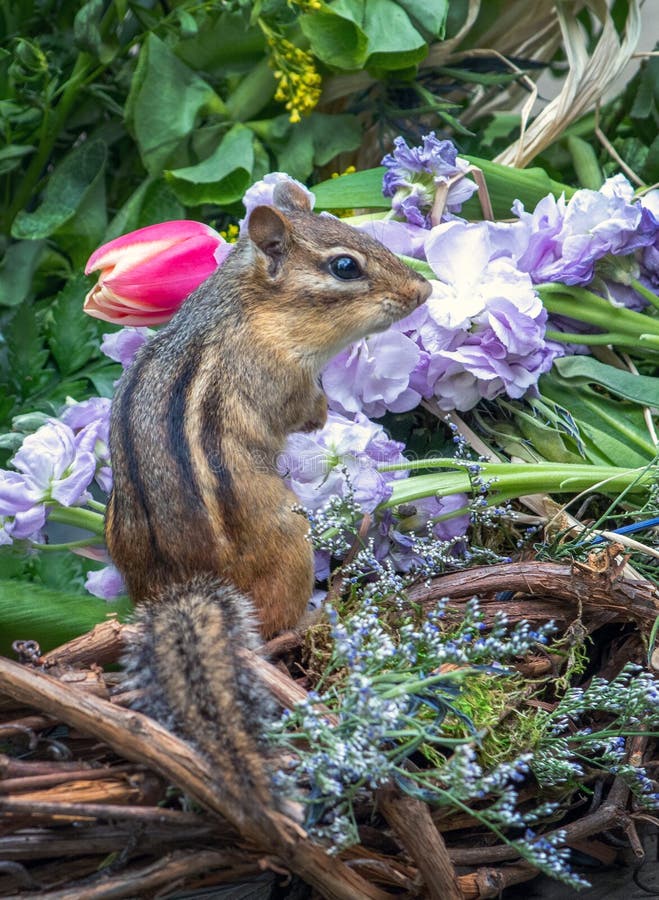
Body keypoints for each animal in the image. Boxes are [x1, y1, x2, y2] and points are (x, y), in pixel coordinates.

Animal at [108, 181, 431, 824]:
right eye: (344, 266)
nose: (423, 290)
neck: (250, 308)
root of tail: (182, 583)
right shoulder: (283, 377)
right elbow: (302, 411)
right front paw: (325, 412)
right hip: (291, 542)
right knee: (278, 625)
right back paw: (318, 613)